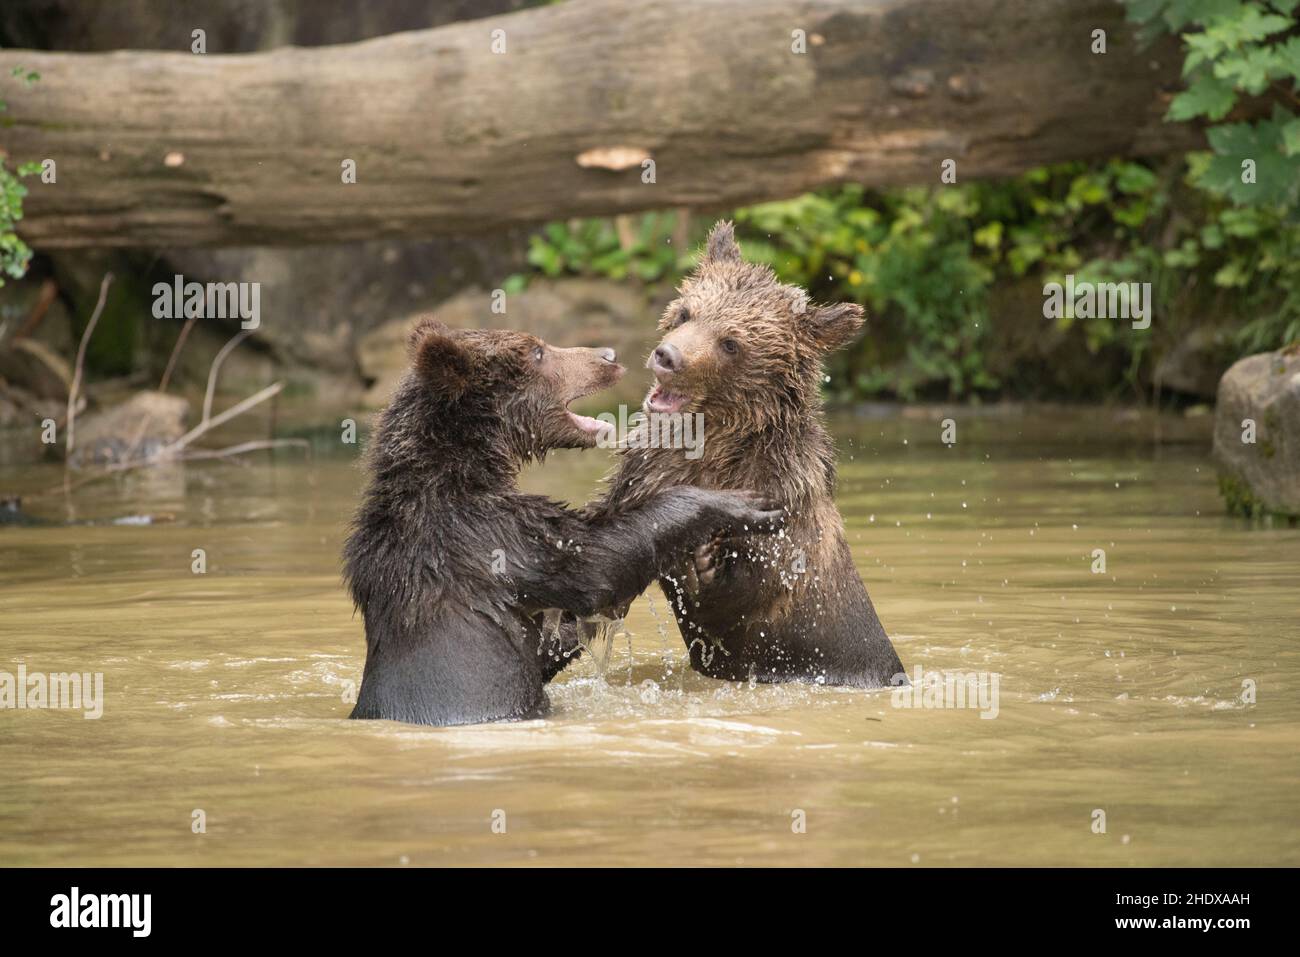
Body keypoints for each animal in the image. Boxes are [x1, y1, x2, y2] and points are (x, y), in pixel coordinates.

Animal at [343, 318, 783, 727]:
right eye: (537, 352)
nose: (608, 355)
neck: (462, 465)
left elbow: (546, 641)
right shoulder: (488, 534)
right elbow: (593, 563)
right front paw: (743, 504)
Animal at [586, 221, 905, 688]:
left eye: (731, 343)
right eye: (686, 313)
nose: (667, 356)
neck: (715, 451)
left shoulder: (784, 499)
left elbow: (756, 583)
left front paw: (708, 560)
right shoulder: (646, 474)